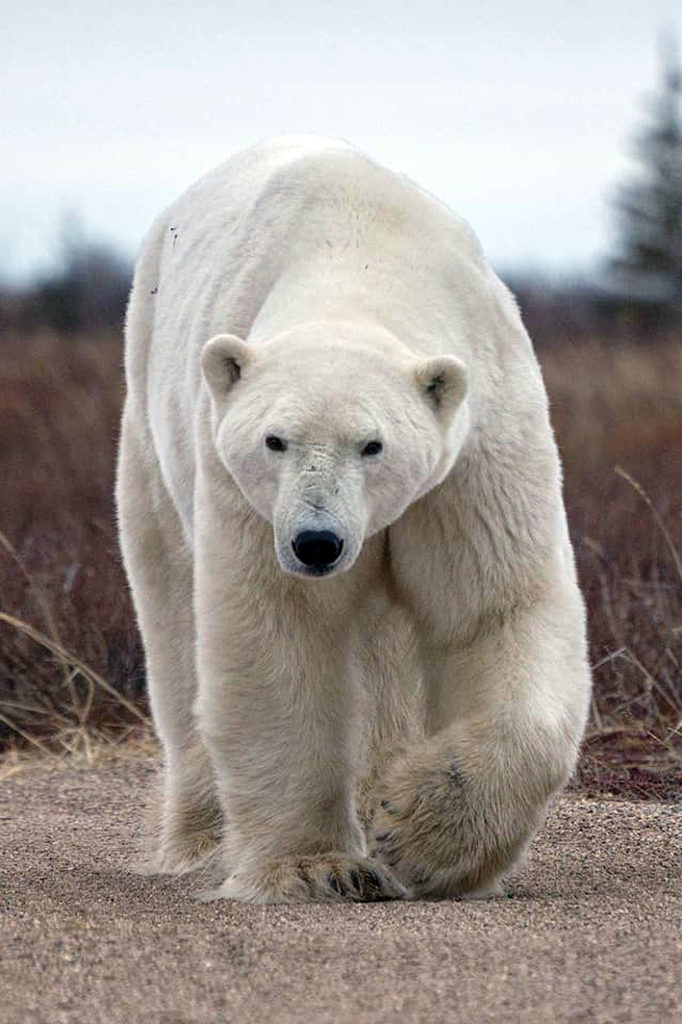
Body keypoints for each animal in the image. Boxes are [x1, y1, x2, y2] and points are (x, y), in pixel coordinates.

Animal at [116, 135, 591, 903]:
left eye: (374, 444)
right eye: (274, 440)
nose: (318, 542)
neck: (359, 253)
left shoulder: (475, 446)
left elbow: (495, 606)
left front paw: (420, 834)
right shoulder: (247, 494)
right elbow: (280, 635)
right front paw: (319, 868)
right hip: (154, 421)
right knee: (171, 609)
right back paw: (199, 841)